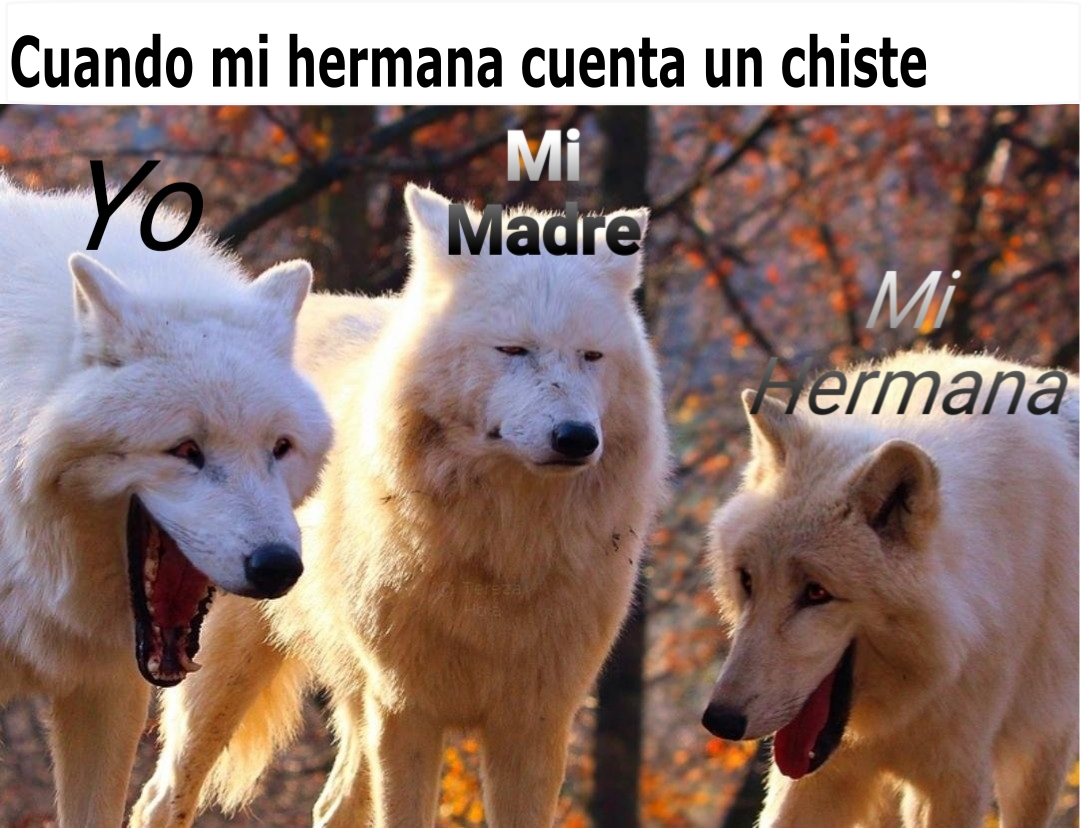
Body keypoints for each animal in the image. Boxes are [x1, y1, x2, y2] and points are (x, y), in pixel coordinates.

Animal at [131, 184, 669, 827]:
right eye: (513, 350)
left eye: (592, 356)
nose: (577, 438)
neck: (503, 552)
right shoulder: (405, 709)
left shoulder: (536, 722)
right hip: (225, 676)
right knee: (160, 799)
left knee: (331, 806)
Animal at [702, 350, 1080, 828]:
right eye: (747, 580)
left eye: (816, 593)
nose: (720, 720)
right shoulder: (819, 773)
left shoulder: (955, 779)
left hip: (1037, 756)